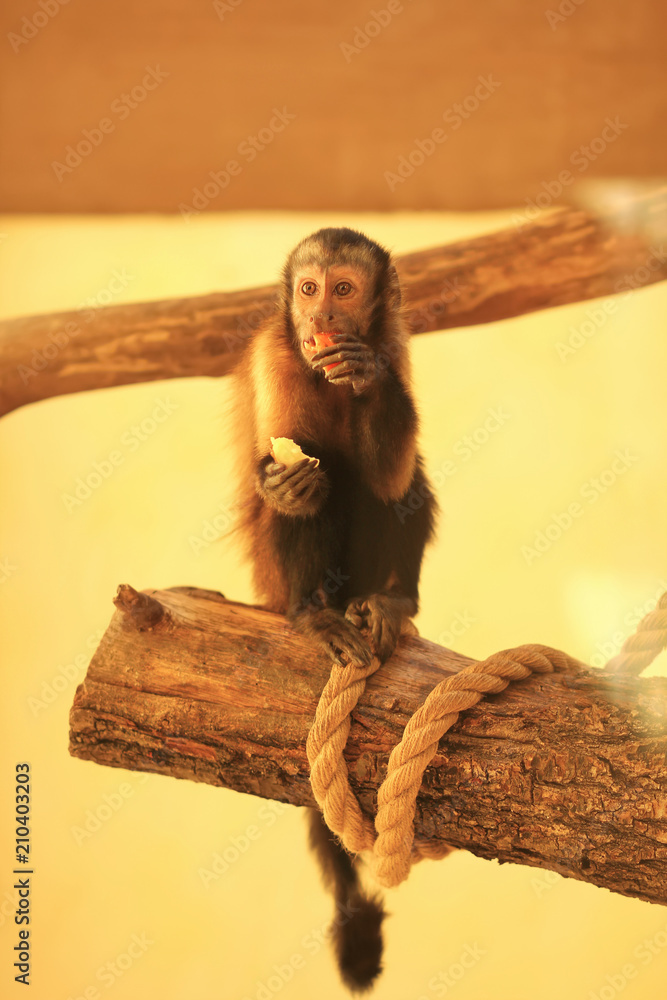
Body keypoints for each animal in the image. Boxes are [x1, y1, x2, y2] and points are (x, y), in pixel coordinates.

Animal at [228, 227, 437, 992]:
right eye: (308, 290)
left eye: (344, 290)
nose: (322, 318)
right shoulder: (274, 354)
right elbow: (293, 464)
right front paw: (287, 482)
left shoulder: (395, 339)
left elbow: (394, 472)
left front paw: (366, 377)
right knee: (322, 481)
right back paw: (309, 612)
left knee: (395, 483)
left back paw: (390, 600)